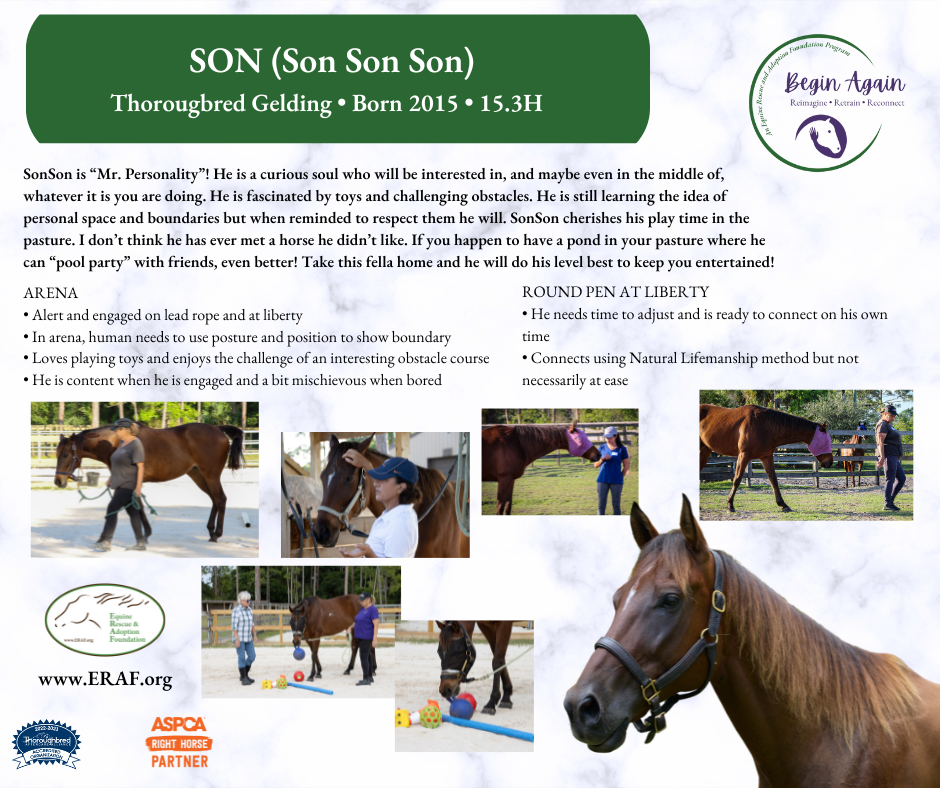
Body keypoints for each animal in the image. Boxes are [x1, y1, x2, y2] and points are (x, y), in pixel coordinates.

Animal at [54, 422, 244, 542]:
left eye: (66, 454)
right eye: (56, 454)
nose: (58, 481)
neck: (116, 443)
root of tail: (217, 428)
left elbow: (125, 508)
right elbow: (136, 507)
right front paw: (144, 534)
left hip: (211, 475)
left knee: (220, 499)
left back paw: (216, 534)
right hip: (198, 475)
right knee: (214, 500)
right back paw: (210, 531)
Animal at [699, 404, 834, 513]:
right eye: (827, 442)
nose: (830, 462)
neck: (765, 426)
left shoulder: (766, 457)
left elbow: (773, 479)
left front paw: (783, 505)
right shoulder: (743, 455)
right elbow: (737, 479)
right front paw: (730, 505)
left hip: (704, 451)